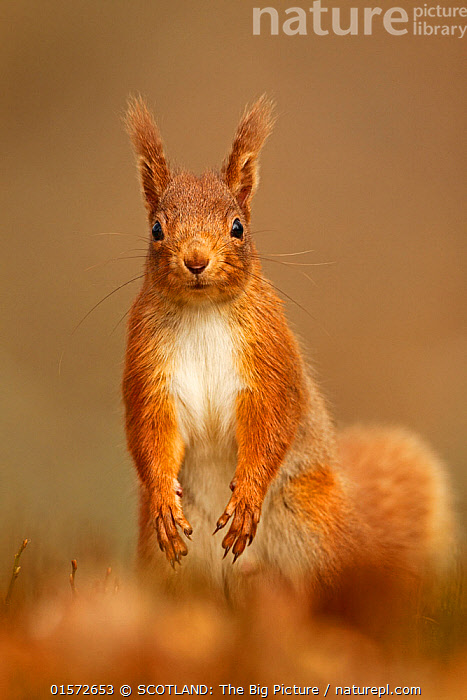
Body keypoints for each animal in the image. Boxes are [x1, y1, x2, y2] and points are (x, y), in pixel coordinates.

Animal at [123, 96, 454, 601]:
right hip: (172, 568)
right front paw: (163, 499)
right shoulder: (148, 365)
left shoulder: (269, 357)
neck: (203, 312)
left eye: (238, 227)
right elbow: (150, 432)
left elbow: (272, 422)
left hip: (312, 521)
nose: (196, 260)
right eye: (157, 229)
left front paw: (246, 499)